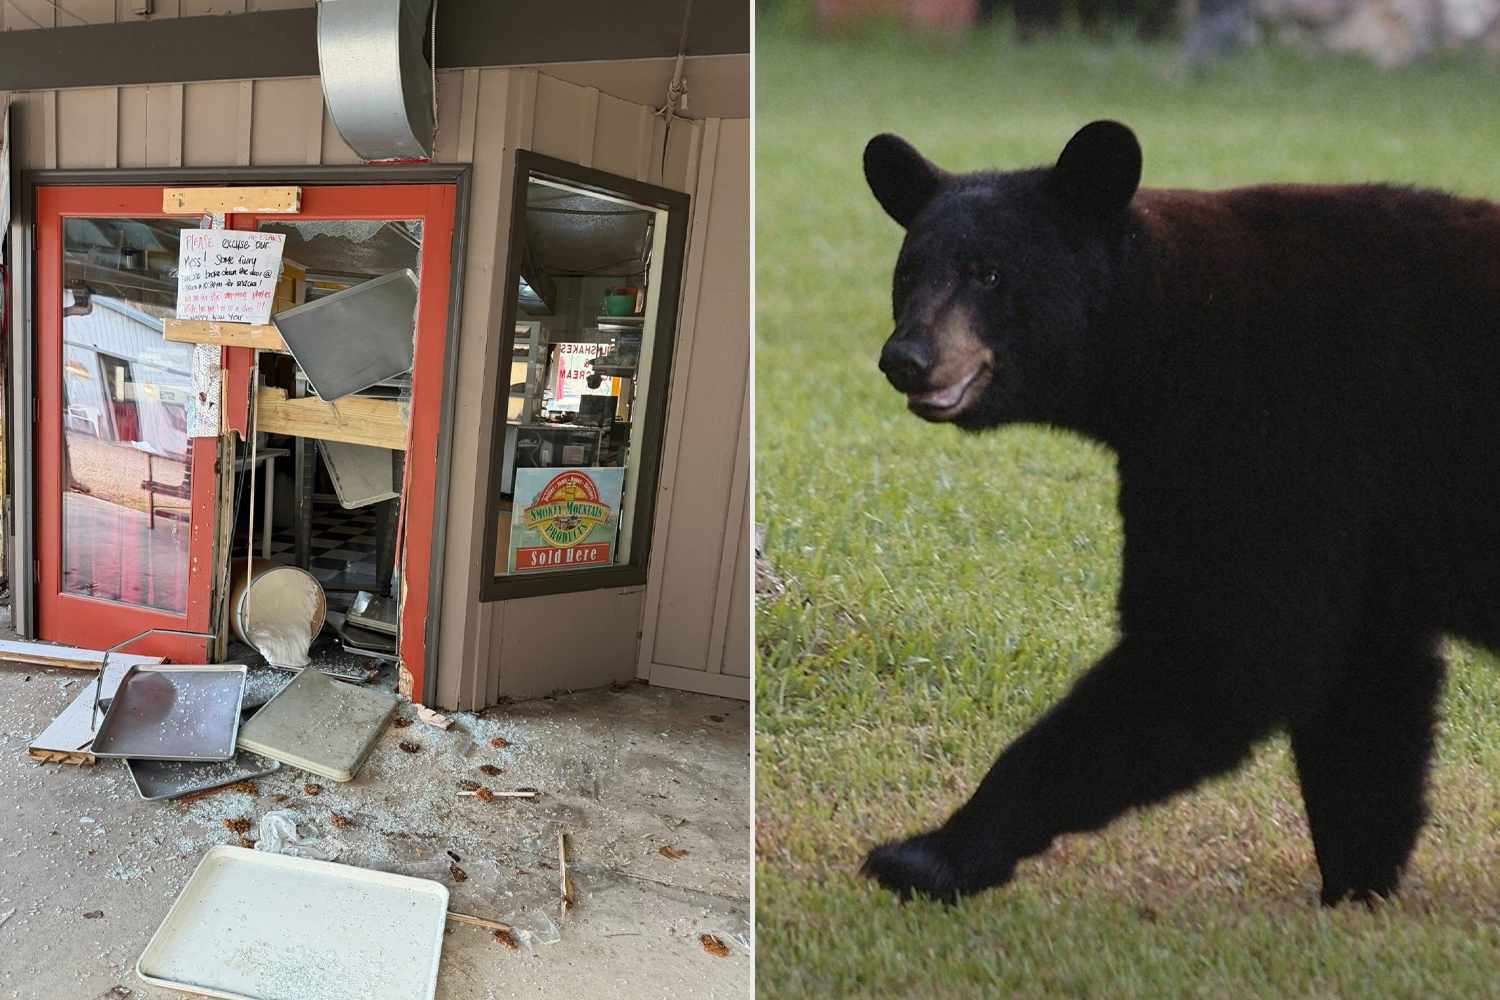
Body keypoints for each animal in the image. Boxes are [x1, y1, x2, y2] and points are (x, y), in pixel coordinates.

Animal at [859, 119, 1500, 906]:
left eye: (988, 274)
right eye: (908, 273)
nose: (907, 358)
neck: (1163, 329)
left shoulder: (1274, 435)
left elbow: (1222, 644)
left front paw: (930, 854)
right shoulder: (1362, 519)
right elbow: (1367, 691)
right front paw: (1355, 885)